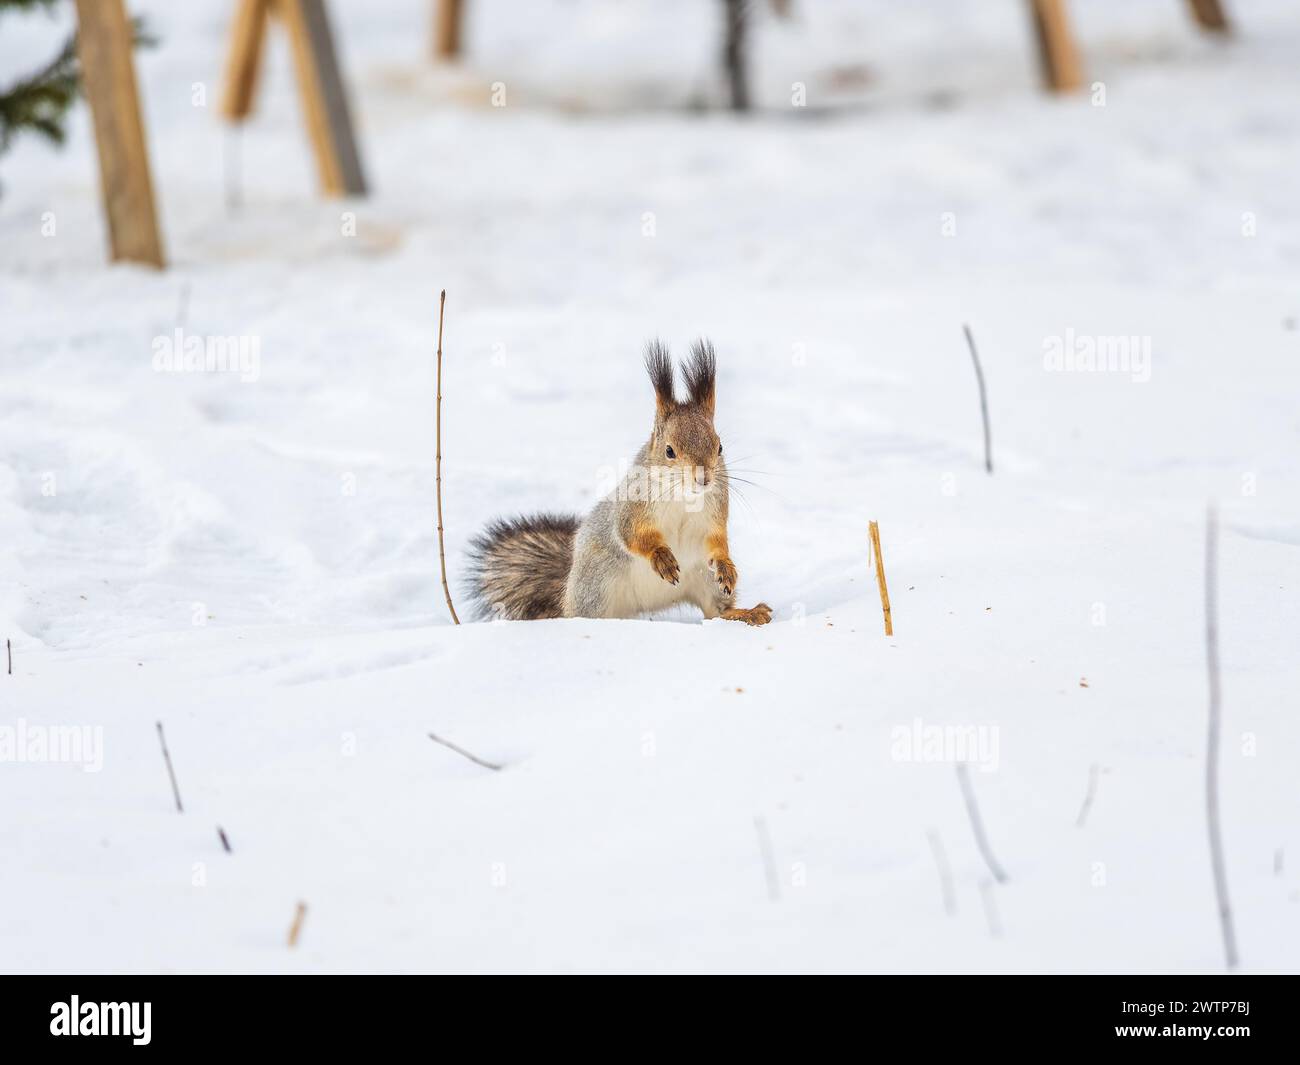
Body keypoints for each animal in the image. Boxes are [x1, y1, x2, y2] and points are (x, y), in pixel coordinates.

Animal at [467, 339, 771, 626]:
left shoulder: (715, 511)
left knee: (715, 612)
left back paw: (746, 613)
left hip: (704, 581)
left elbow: (717, 542)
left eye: (719, 447)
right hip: (597, 585)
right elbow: (630, 534)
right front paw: (661, 557)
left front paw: (726, 566)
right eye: (669, 451)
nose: (703, 478)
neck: (685, 496)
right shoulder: (633, 506)